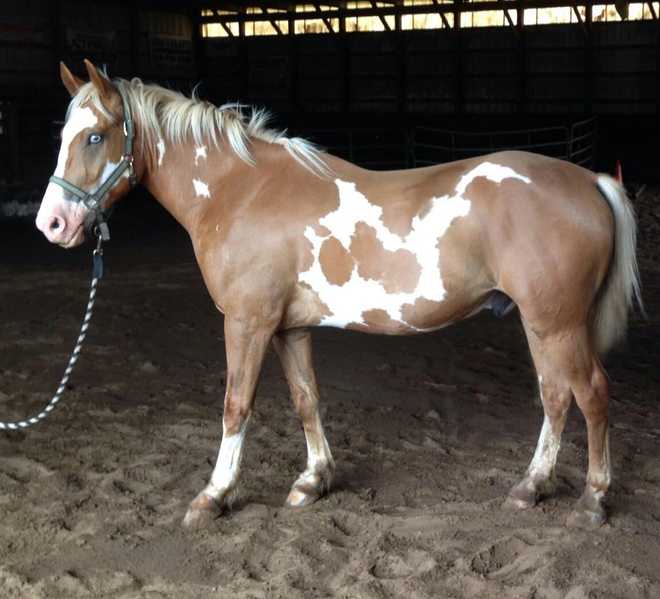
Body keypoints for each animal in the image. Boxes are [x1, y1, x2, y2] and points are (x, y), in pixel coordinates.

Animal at [36, 60, 642, 530]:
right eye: (61, 136)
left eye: (95, 136)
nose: (52, 224)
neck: (242, 191)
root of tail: (589, 181)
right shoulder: (289, 327)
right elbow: (307, 398)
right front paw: (313, 480)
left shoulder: (247, 323)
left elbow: (236, 406)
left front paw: (214, 495)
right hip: (540, 323)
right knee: (555, 396)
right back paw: (531, 486)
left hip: (558, 324)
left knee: (590, 394)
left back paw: (591, 500)